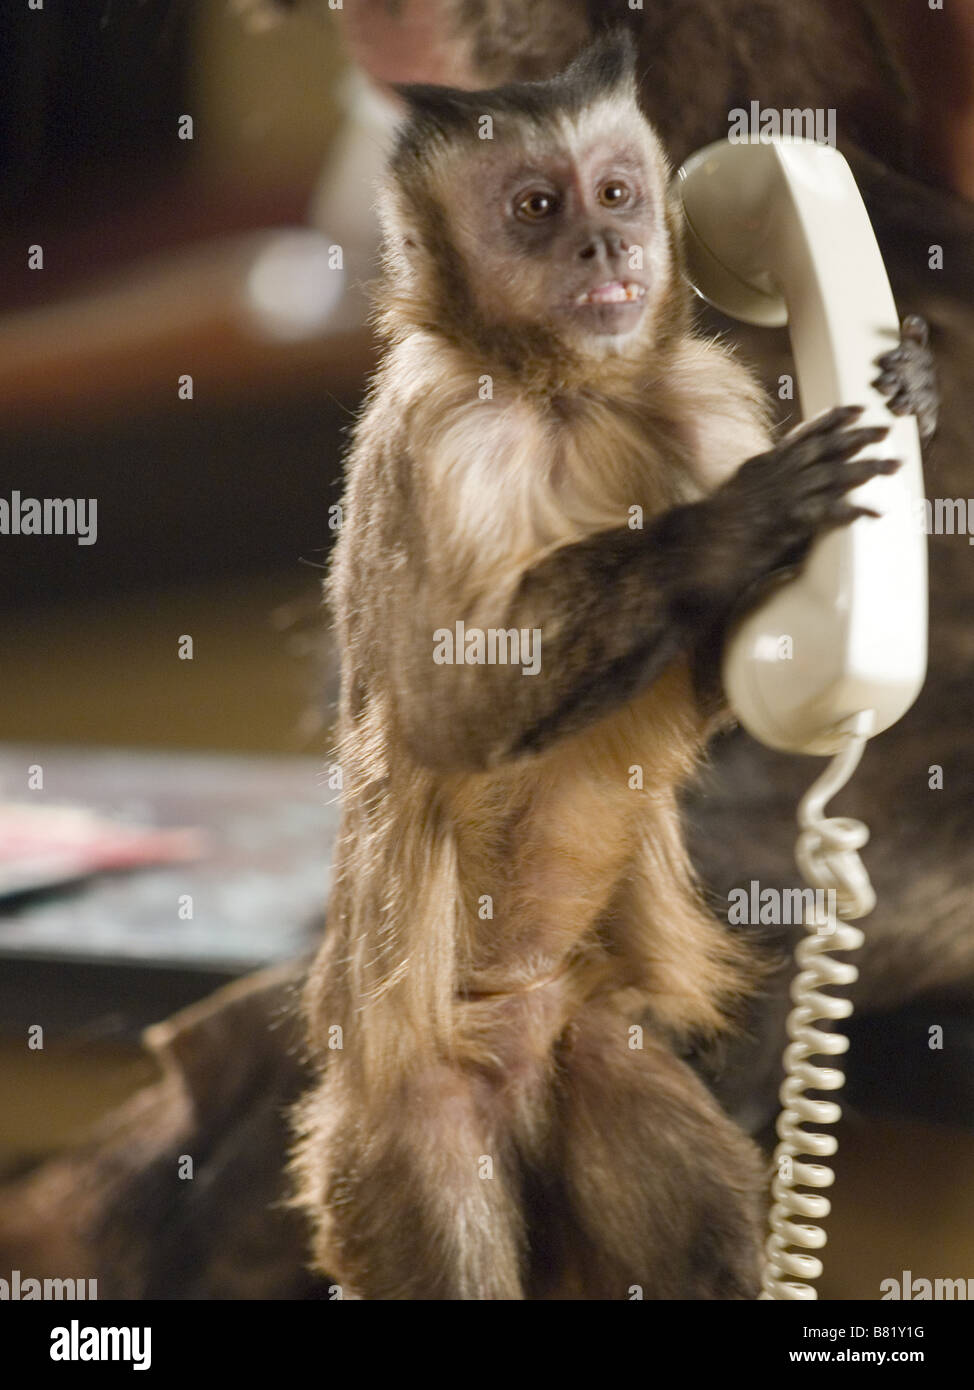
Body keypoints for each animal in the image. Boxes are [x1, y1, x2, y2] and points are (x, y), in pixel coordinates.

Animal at [287, 31, 931, 1301]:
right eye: (537, 208)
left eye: (619, 192)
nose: (605, 245)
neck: (562, 393)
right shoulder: (437, 432)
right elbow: (442, 706)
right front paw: (728, 532)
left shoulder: (702, 400)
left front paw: (911, 388)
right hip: (396, 1132)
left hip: (594, 1038)